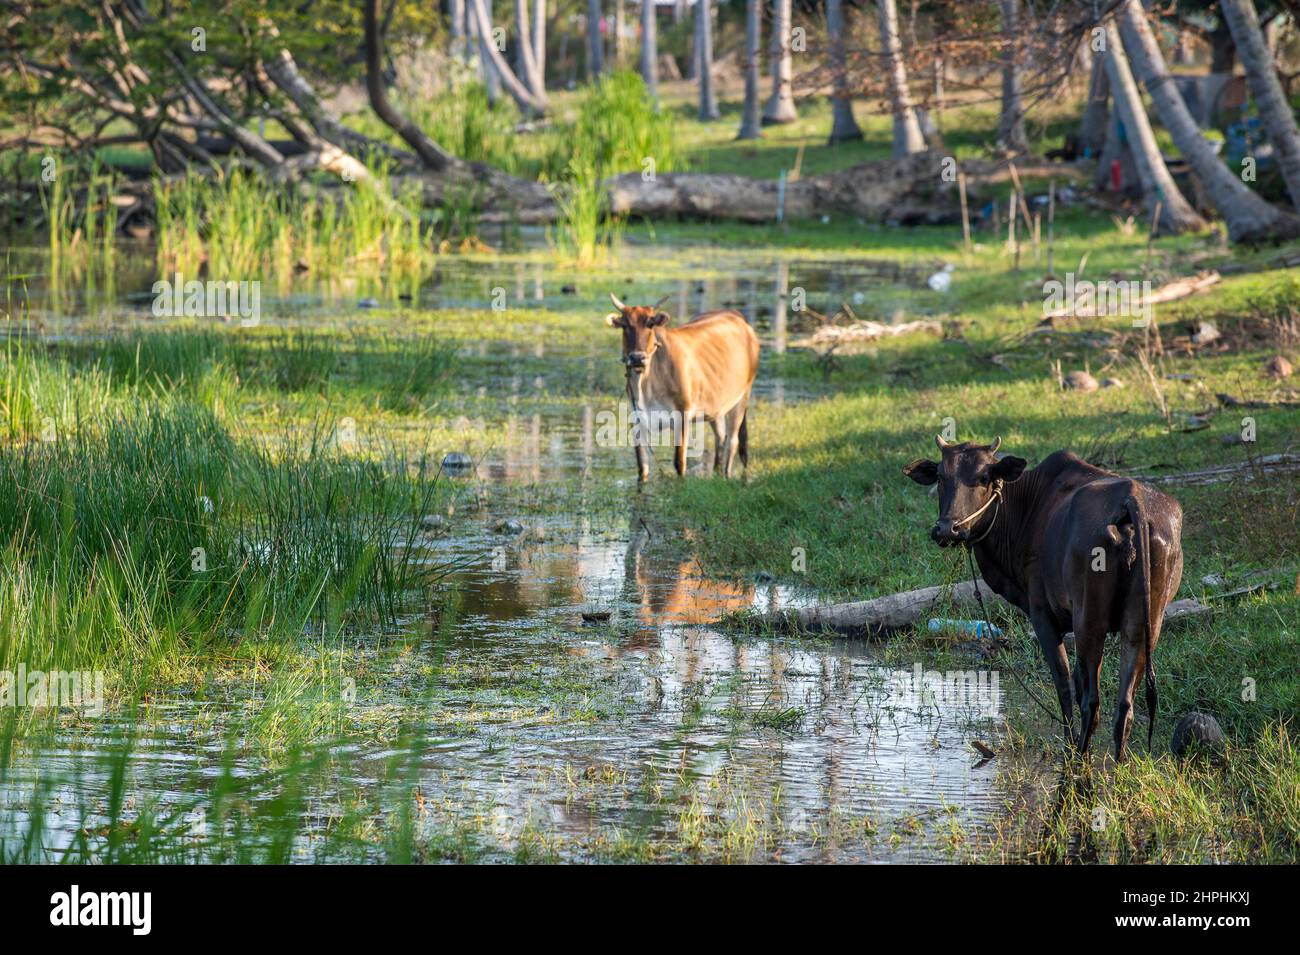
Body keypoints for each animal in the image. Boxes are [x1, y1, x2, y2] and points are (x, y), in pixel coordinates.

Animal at [605, 294, 760, 482]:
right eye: (625, 325)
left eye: (651, 324)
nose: (637, 358)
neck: (645, 383)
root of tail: (736, 315)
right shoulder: (636, 420)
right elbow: (642, 467)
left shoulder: (682, 415)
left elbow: (679, 462)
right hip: (715, 404)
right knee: (721, 436)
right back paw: (716, 471)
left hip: (743, 396)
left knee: (733, 441)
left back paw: (726, 474)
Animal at [902, 437, 1184, 761]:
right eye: (940, 477)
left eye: (984, 477)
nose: (948, 529)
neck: (1025, 509)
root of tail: (1131, 499)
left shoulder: (1043, 616)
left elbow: (1064, 685)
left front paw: (1069, 744)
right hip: (1143, 624)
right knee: (1124, 704)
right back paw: (1118, 763)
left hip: (1090, 620)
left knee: (1091, 700)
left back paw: (1078, 757)